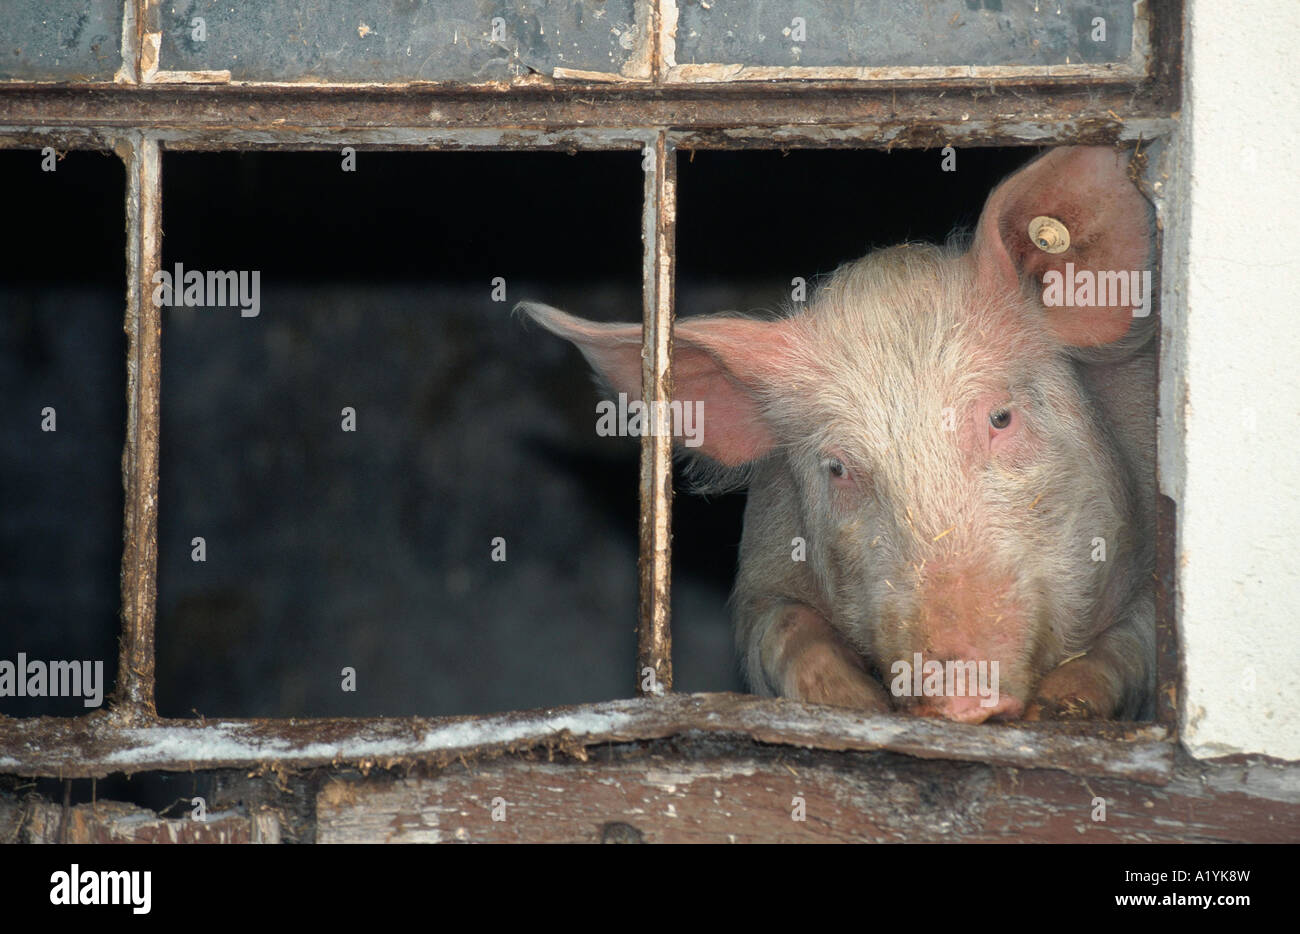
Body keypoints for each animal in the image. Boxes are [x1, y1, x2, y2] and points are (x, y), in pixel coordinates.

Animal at [519, 146, 1156, 722]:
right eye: (838, 467)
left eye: (1001, 417)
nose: (957, 688)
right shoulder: (764, 569)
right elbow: (780, 628)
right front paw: (855, 702)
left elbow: (1136, 642)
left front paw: (1061, 705)